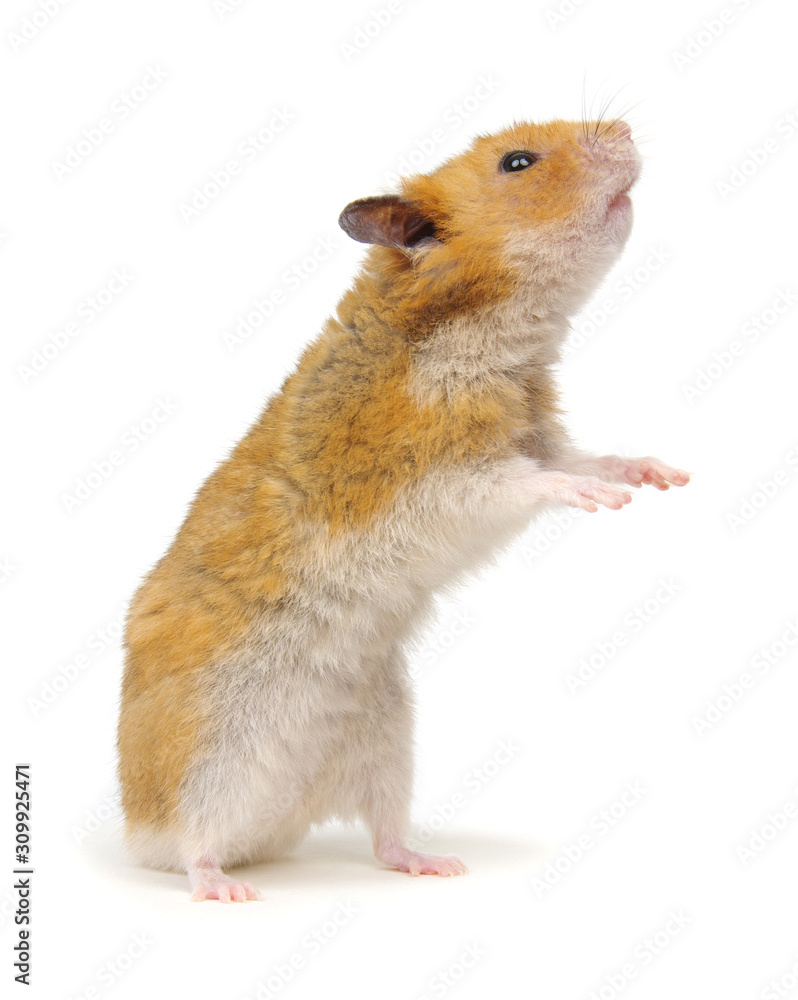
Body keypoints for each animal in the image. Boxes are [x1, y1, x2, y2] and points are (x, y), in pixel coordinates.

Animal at [117, 117, 690, 902]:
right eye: (517, 163)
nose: (629, 127)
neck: (494, 334)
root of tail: (271, 831)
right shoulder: (441, 479)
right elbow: (530, 483)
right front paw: (605, 500)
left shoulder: (540, 439)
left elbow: (582, 459)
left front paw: (657, 475)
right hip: (207, 759)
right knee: (190, 842)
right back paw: (226, 889)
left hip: (385, 743)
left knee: (384, 834)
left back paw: (435, 863)